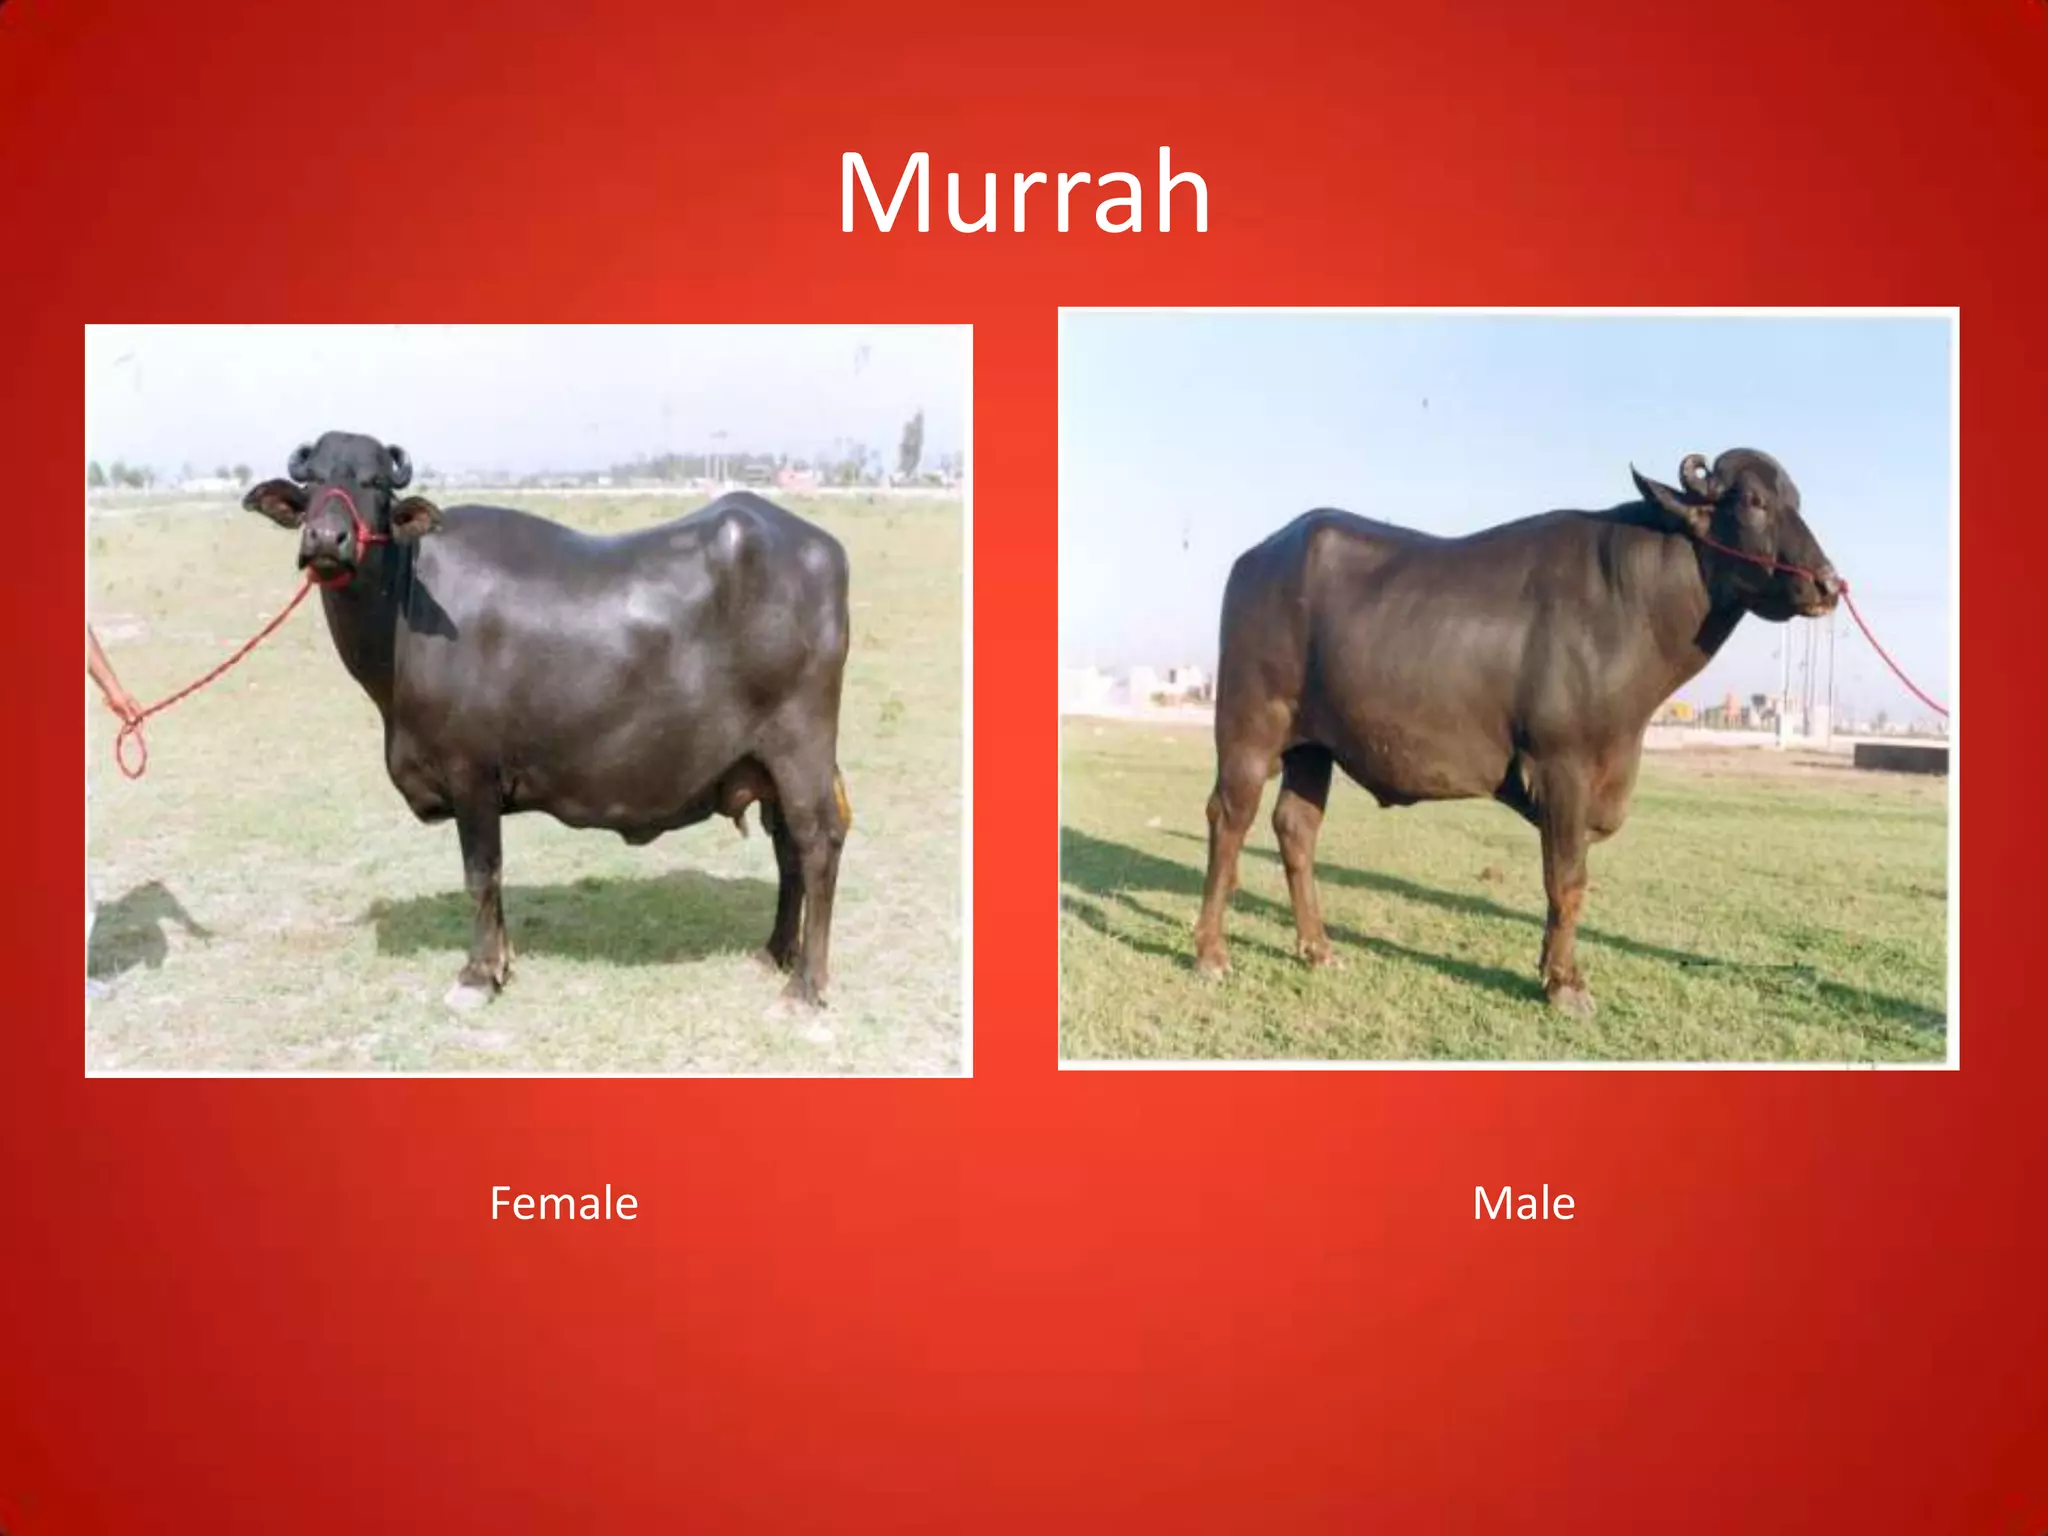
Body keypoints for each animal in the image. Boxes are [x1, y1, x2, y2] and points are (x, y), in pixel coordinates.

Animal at [244, 431, 852, 1010]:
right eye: (315, 481)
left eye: (372, 482)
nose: (327, 540)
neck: (407, 608)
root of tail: (822, 549)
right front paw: (502, 960)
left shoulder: (470, 775)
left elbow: (481, 873)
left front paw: (477, 974)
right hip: (768, 762)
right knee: (788, 848)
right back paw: (774, 952)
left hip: (800, 747)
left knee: (817, 840)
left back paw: (805, 985)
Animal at [1193, 449, 1842, 1016]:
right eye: (1753, 501)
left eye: (1795, 499)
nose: (1828, 584)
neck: (1630, 605)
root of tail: (1259, 557)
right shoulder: (1562, 768)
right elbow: (1567, 880)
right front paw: (1566, 985)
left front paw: (1553, 972)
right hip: (1250, 728)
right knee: (1229, 818)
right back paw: (1211, 953)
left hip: (1312, 747)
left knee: (1296, 828)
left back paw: (1319, 949)